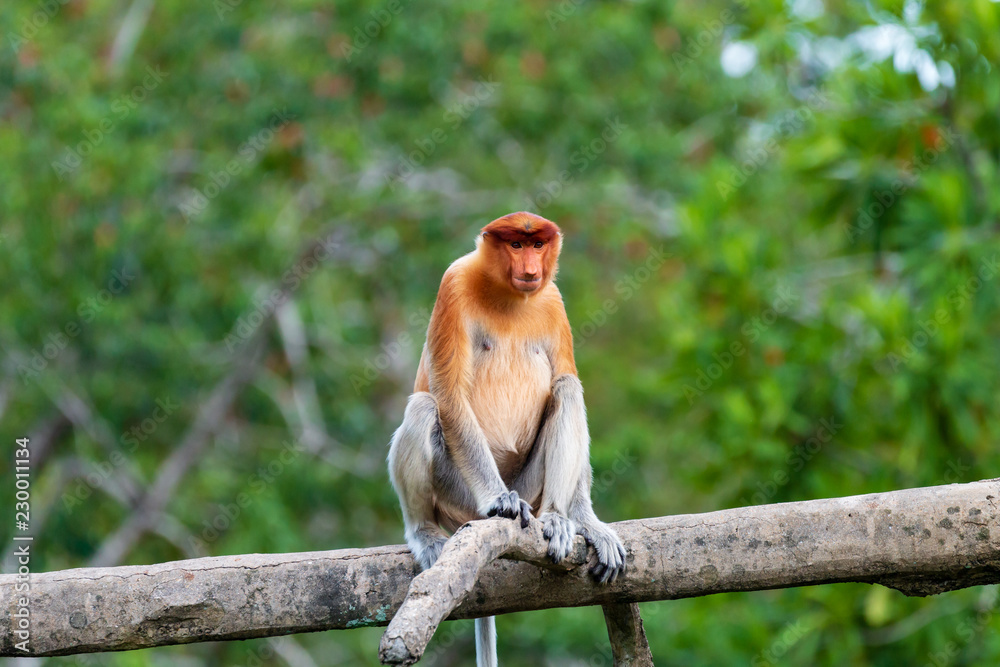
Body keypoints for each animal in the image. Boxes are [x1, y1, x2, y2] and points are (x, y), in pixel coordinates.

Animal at [387, 212, 627, 667]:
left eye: (537, 245)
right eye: (515, 244)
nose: (530, 268)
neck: (509, 296)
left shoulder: (554, 302)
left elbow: (564, 376)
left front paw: (590, 523)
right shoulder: (453, 284)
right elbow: (449, 395)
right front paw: (501, 501)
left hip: (531, 483)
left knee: (567, 388)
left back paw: (557, 518)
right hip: (456, 495)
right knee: (425, 407)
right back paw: (426, 531)